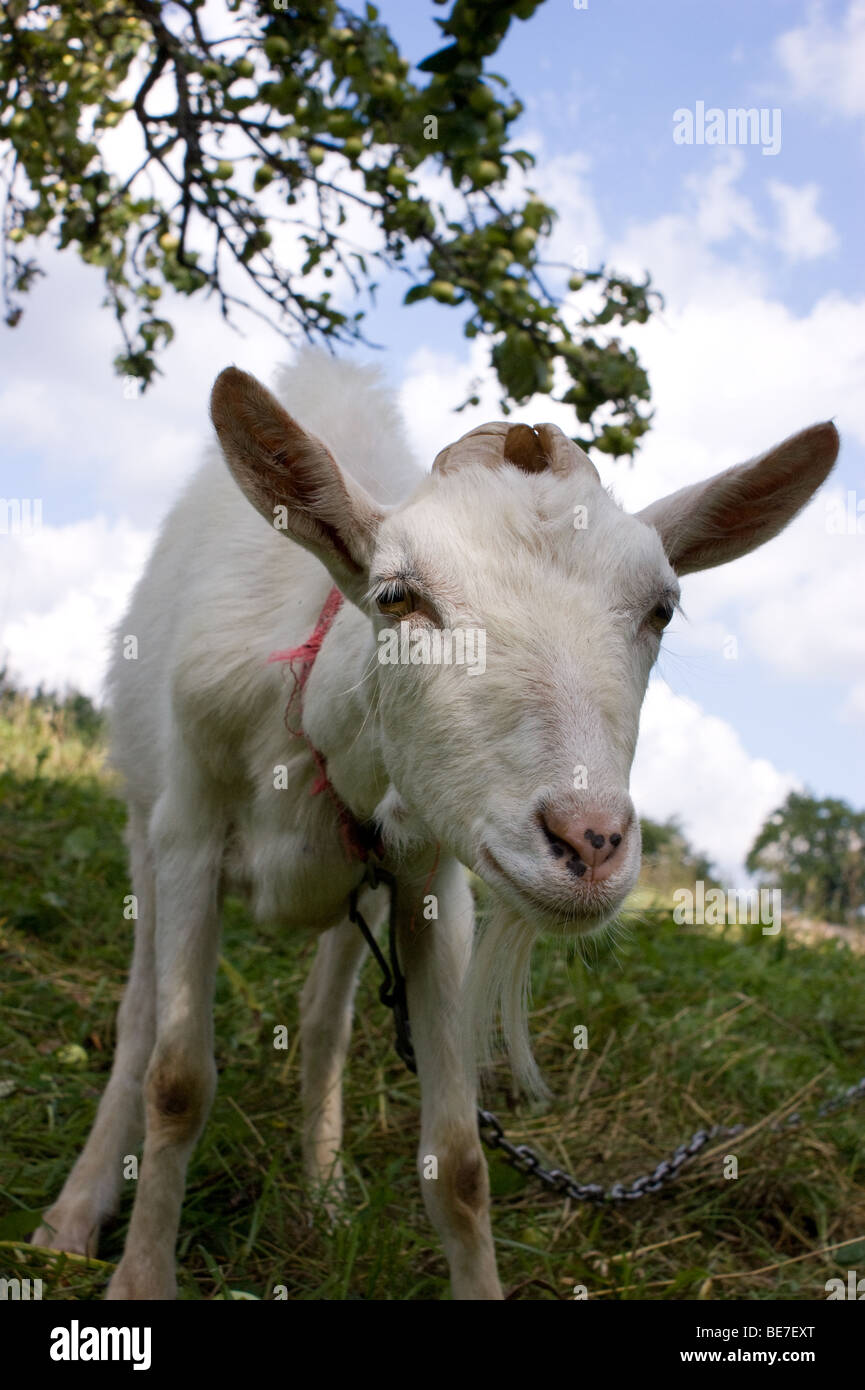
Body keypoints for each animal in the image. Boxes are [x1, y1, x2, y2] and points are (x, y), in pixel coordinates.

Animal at [32, 349, 839, 1299]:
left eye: (660, 609)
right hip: (142, 825)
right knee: (138, 1019)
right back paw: (73, 1214)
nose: (590, 843)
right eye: (397, 595)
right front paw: (139, 1279)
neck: (315, 724)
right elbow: (177, 1078)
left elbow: (456, 1159)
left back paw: (324, 1196)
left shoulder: (429, 881)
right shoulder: (188, 832)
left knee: (322, 1020)